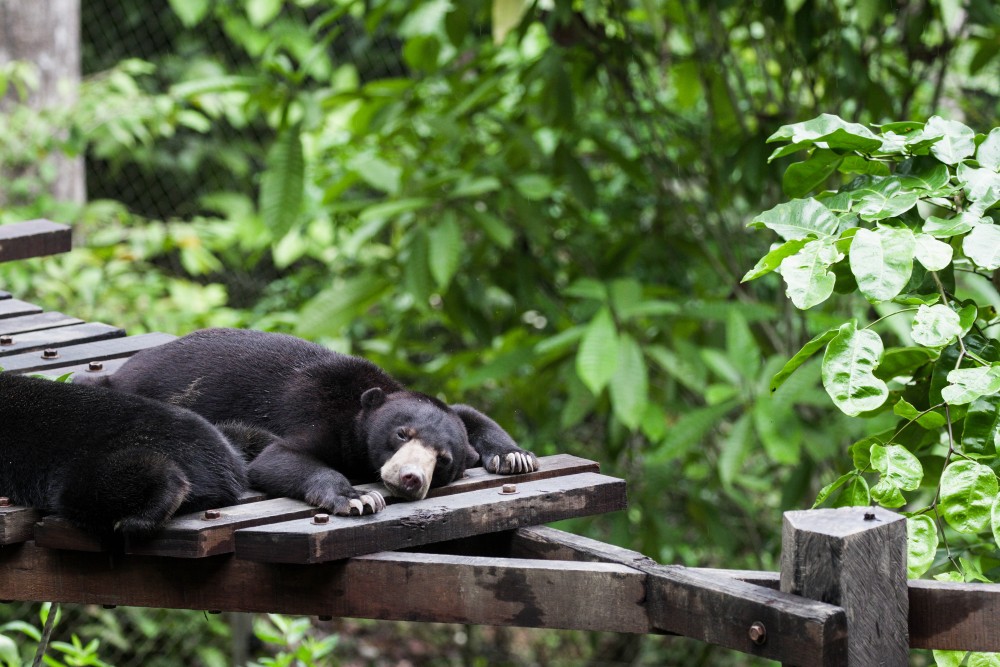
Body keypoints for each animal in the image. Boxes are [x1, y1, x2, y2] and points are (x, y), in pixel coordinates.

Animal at [76, 328, 539, 516]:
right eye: (401, 434)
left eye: (442, 459)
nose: (410, 478)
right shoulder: (318, 417)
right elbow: (278, 458)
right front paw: (357, 498)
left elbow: (467, 412)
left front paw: (515, 456)